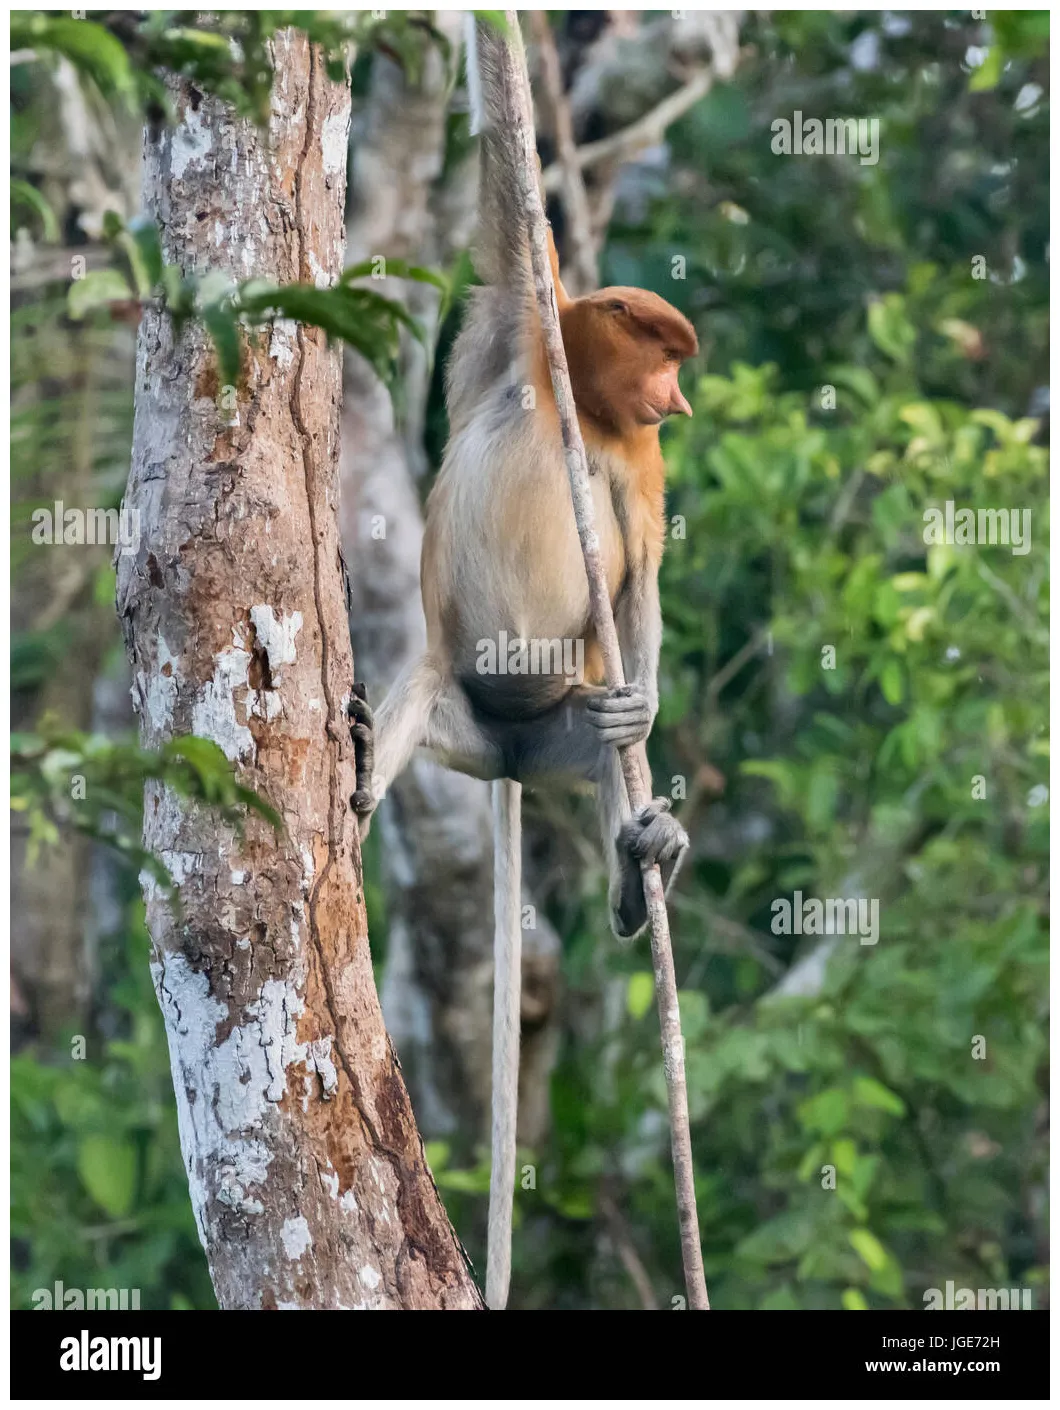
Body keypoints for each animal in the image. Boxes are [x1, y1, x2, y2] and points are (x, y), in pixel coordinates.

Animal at [346, 17, 698, 1310]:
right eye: (658, 349)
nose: (675, 396)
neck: (582, 413)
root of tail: (498, 759)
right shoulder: (517, 320)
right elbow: (506, 167)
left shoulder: (639, 466)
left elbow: (639, 583)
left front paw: (645, 717)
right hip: (461, 704)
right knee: (413, 696)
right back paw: (356, 788)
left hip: (544, 724)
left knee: (597, 750)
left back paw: (637, 876)